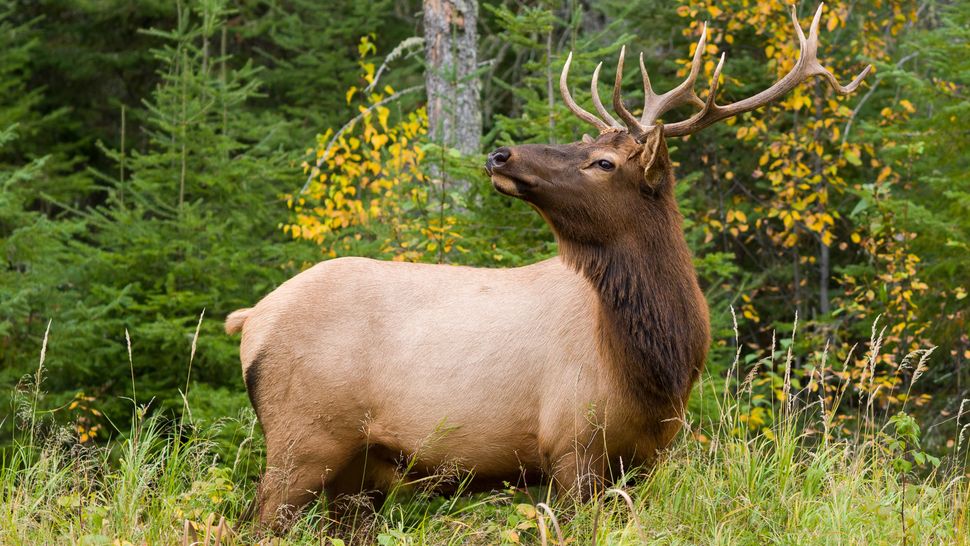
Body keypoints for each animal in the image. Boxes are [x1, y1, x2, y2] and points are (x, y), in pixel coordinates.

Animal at [226, 4, 869, 532]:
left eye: (602, 160)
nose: (499, 153)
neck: (655, 367)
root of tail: (252, 318)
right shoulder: (571, 447)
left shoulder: (647, 460)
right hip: (302, 438)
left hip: (361, 469)